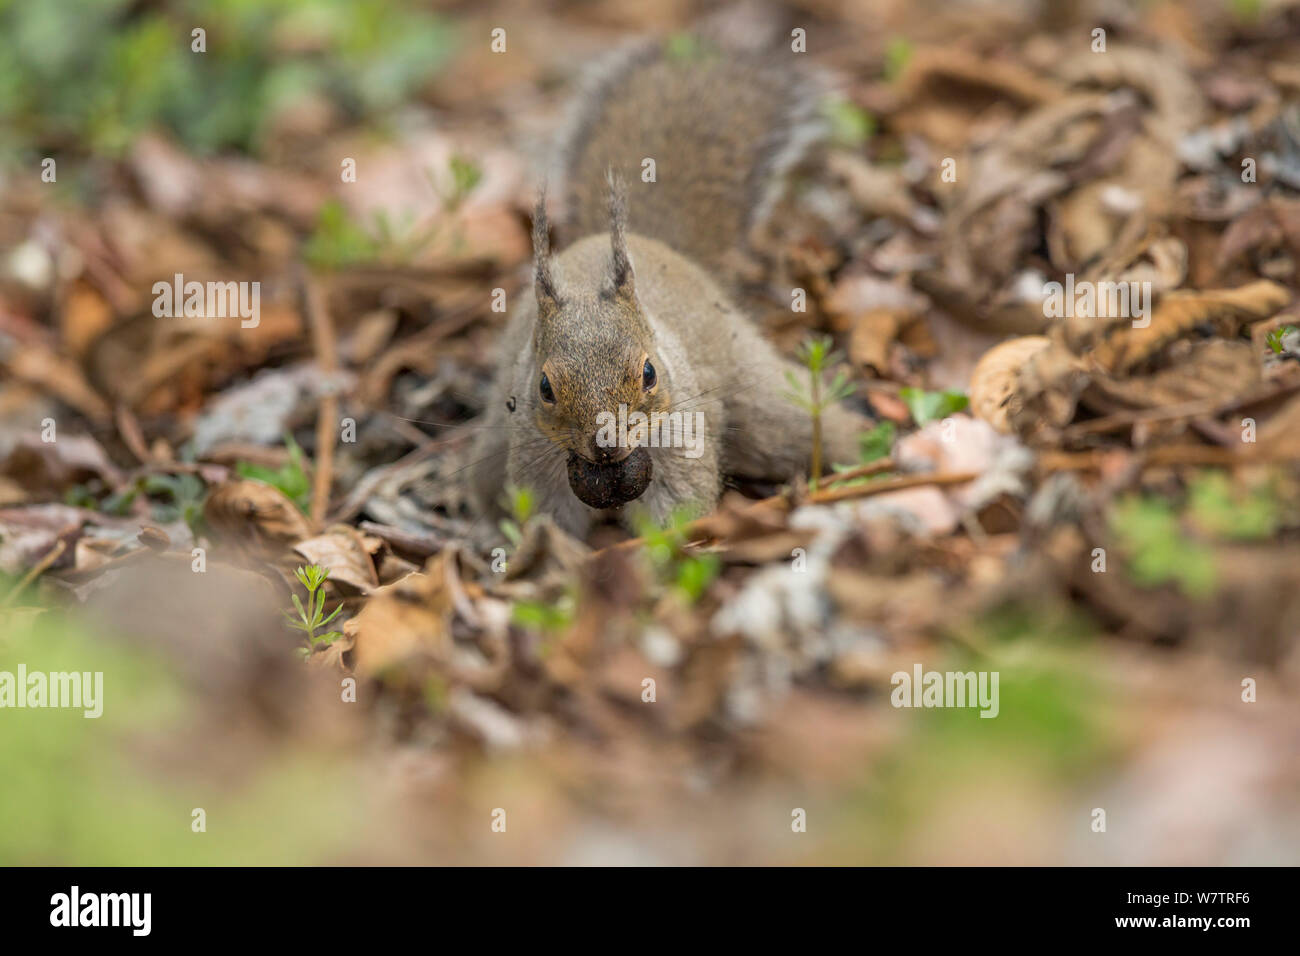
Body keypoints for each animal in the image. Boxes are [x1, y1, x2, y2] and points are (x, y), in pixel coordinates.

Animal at [469, 35, 867, 539]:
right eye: (545, 388)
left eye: (649, 373)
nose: (606, 446)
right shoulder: (532, 456)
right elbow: (545, 514)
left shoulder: (684, 439)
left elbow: (678, 507)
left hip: (762, 398)